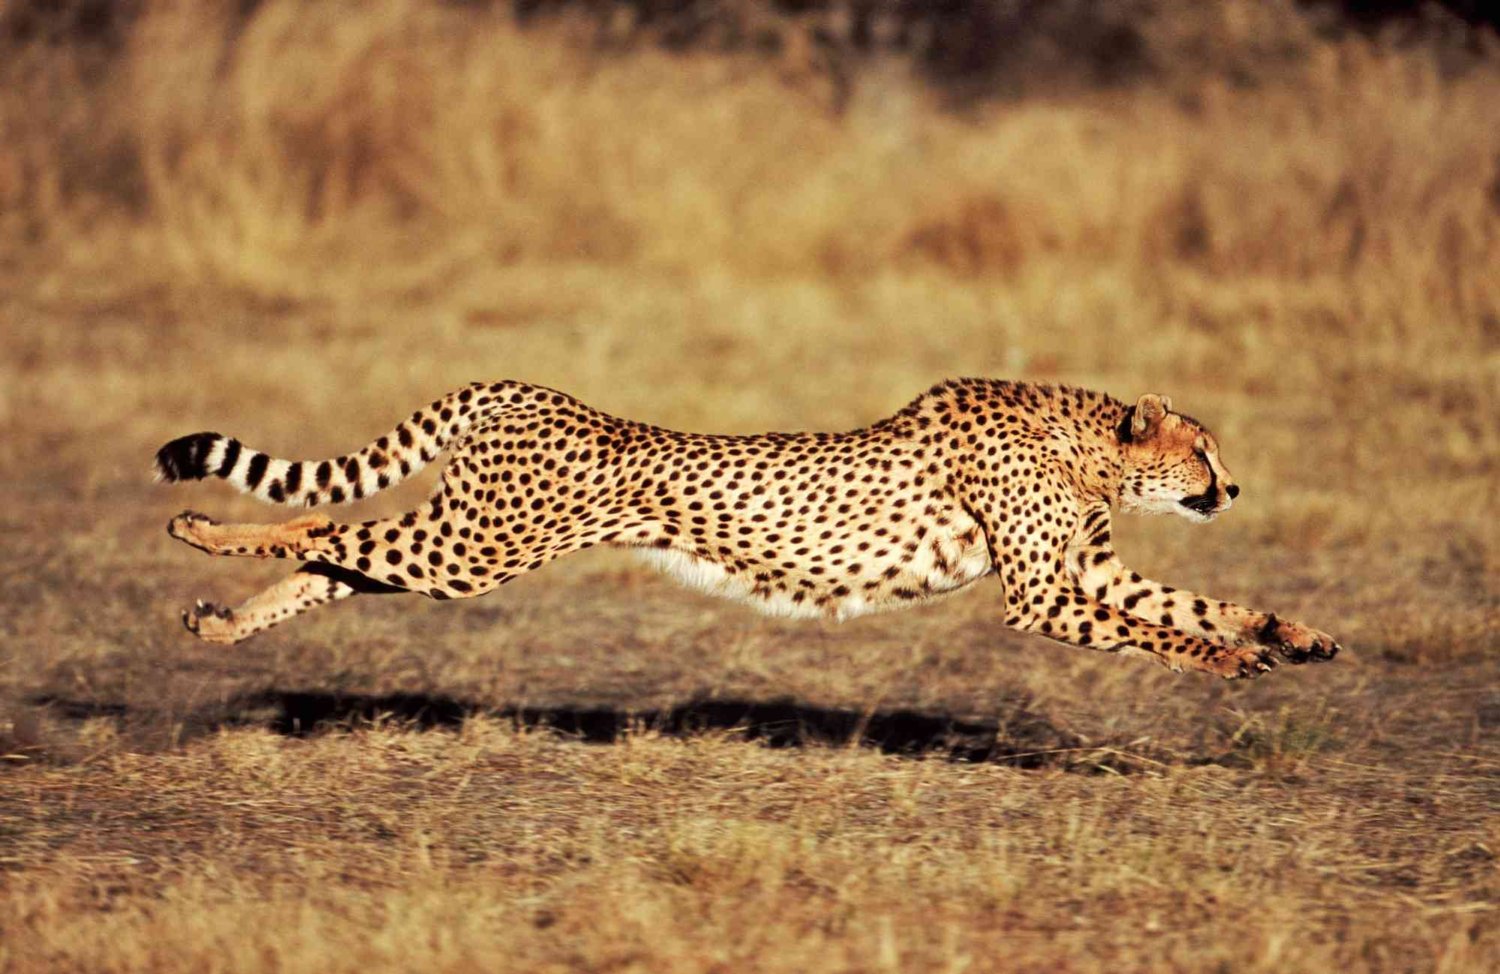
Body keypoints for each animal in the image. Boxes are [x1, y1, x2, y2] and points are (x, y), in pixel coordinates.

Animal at [155, 379, 1342, 679]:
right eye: (1201, 452)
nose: (1233, 489)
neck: (1086, 440)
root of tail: (526, 388)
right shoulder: (1041, 594)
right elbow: (1161, 628)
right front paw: (1228, 660)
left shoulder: (1083, 572)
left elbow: (1193, 601)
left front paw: (1292, 634)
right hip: (477, 548)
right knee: (316, 518)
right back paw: (200, 529)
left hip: (461, 546)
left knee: (332, 559)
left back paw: (216, 622)